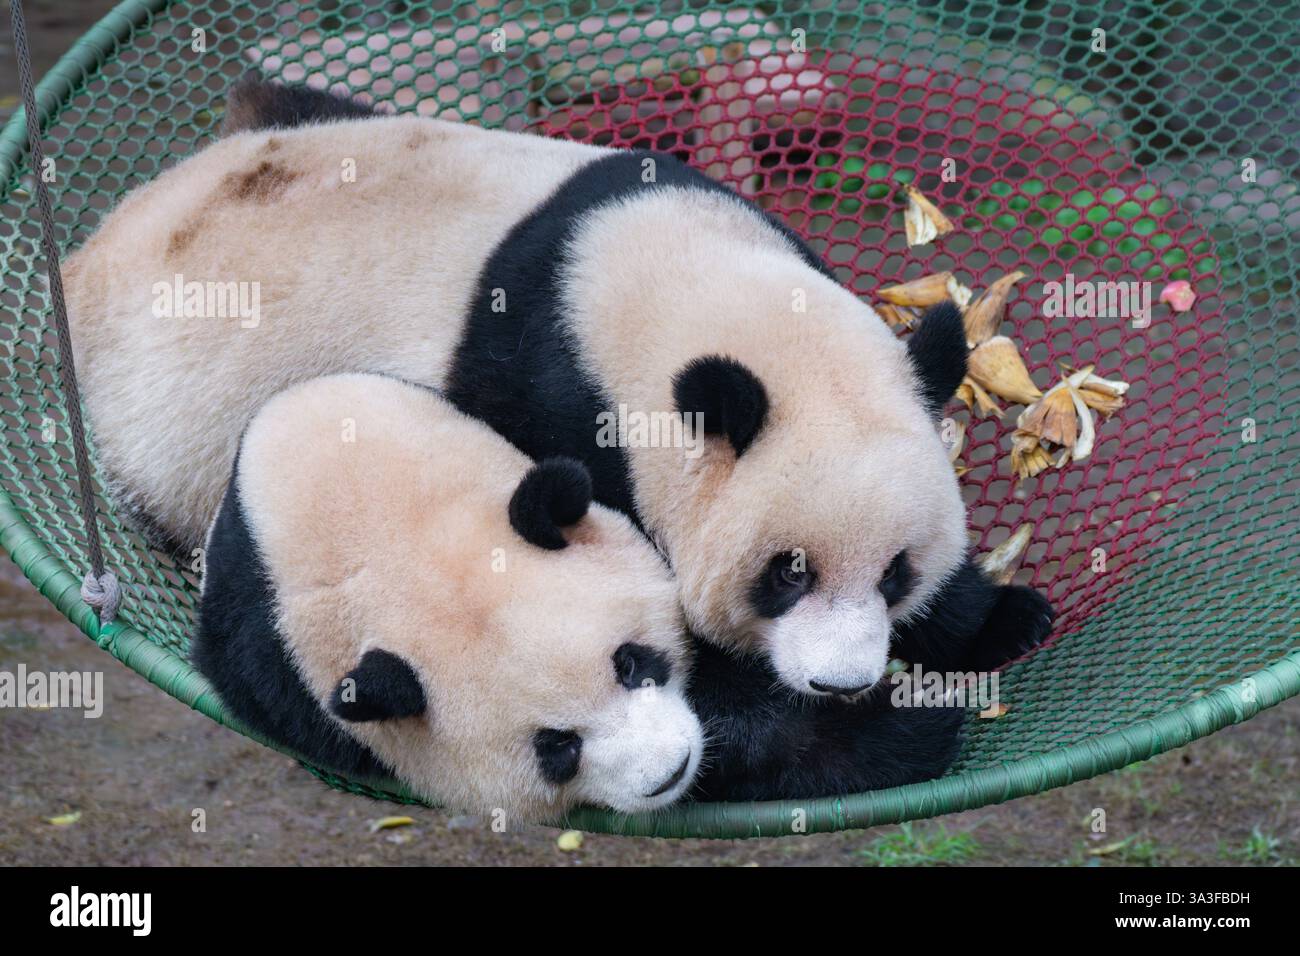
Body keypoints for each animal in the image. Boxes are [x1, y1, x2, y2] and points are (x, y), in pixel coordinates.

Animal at [66, 75, 1053, 703]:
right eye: (786, 574)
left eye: (895, 573)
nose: (839, 682)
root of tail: (88, 253)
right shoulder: (545, 412)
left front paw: (1000, 615)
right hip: (161, 436)